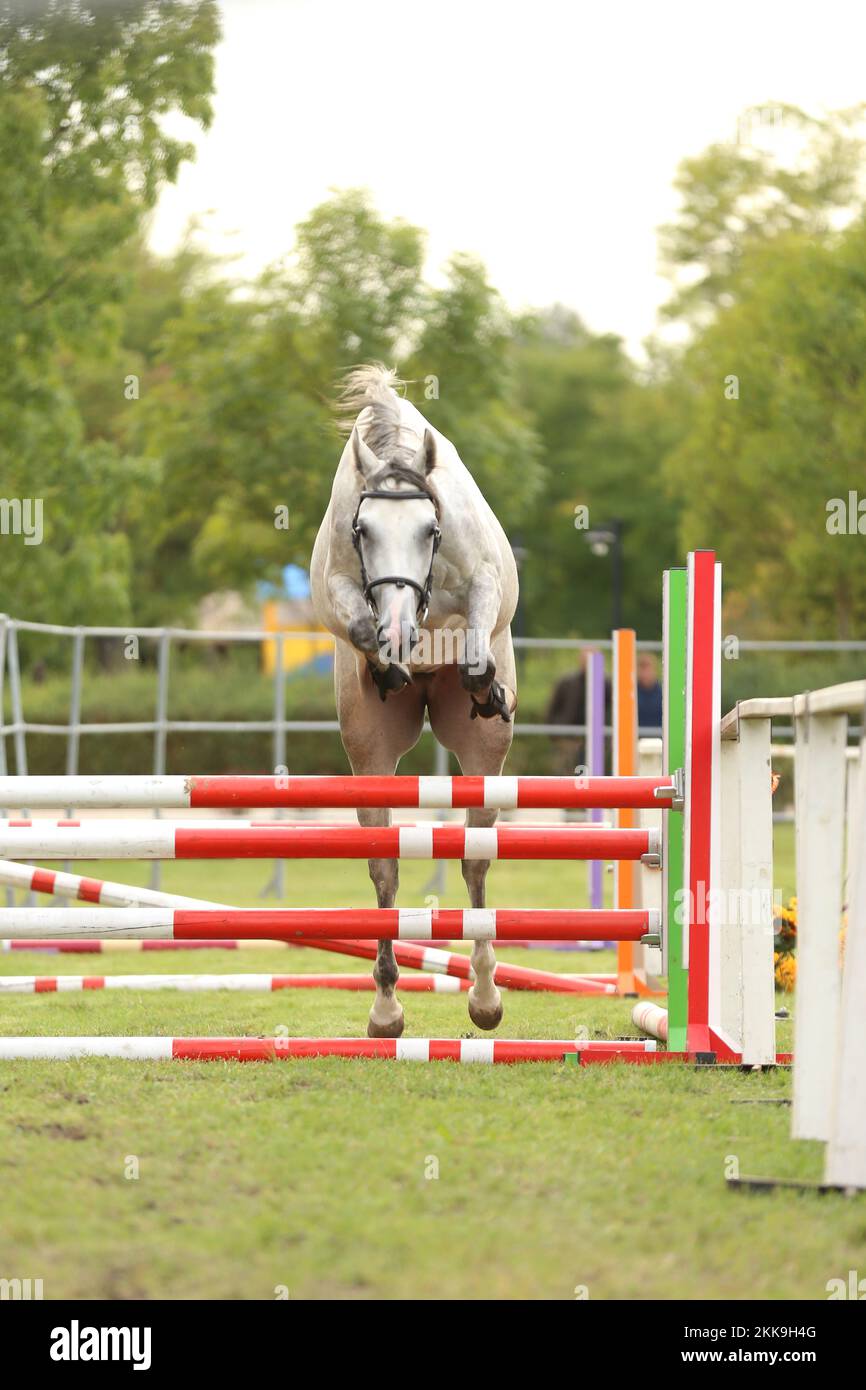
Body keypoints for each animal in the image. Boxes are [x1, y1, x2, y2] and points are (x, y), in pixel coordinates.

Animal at [311, 365, 518, 1038]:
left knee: (476, 862)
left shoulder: (482, 580)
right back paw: (386, 1008)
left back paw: (485, 997)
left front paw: (488, 686)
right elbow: (353, 619)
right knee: (385, 868)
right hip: (371, 751)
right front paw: (385, 661)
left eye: (430, 531)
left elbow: (477, 640)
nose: (401, 633)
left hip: (483, 758)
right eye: (362, 531)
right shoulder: (340, 586)